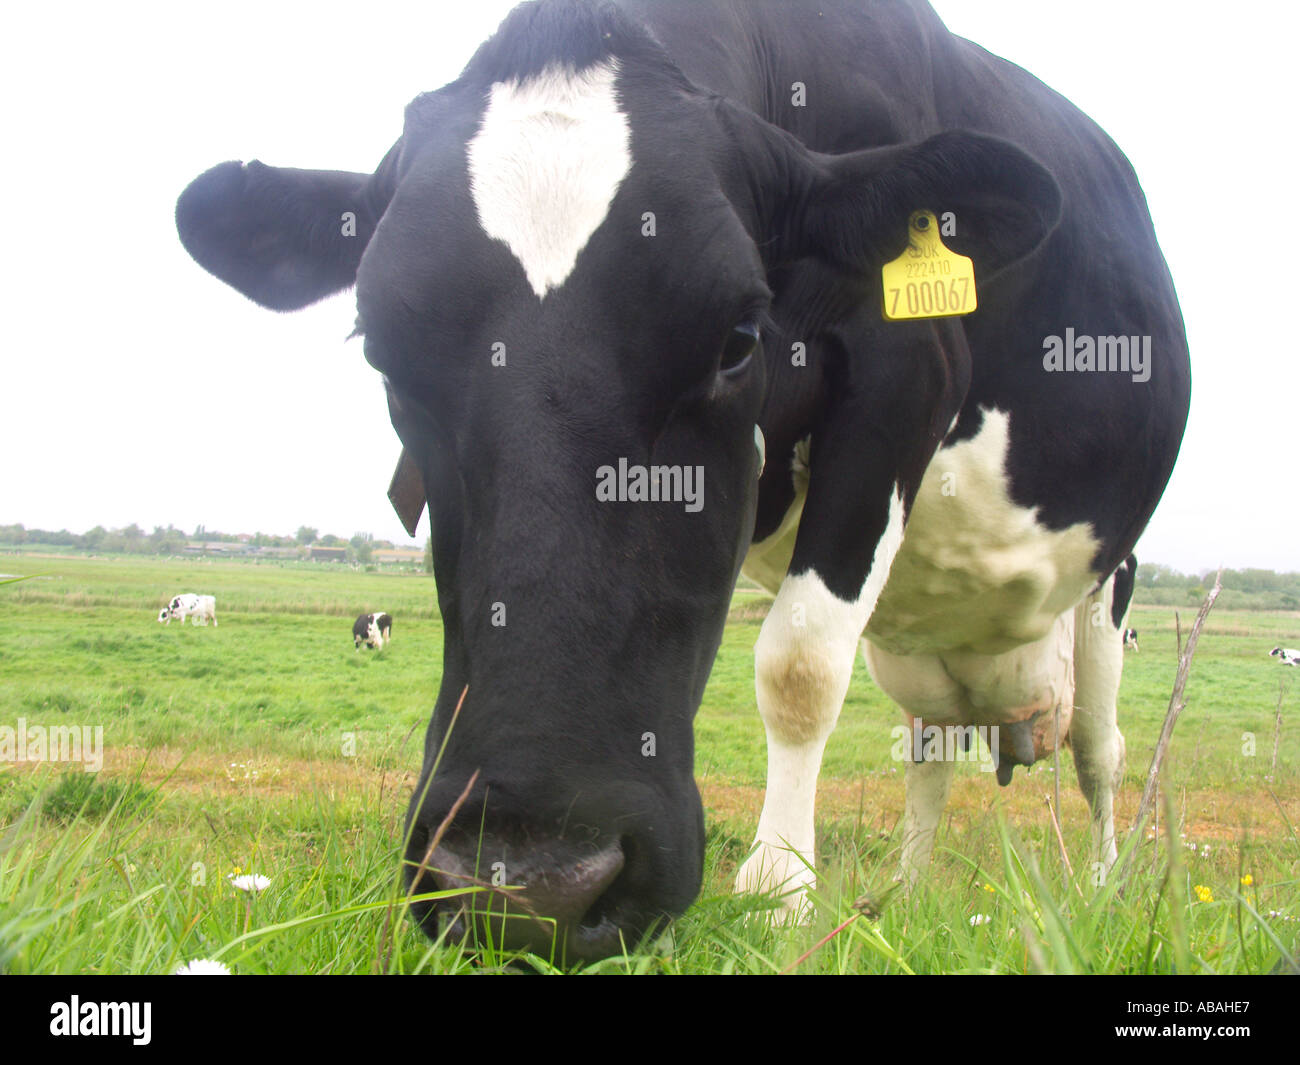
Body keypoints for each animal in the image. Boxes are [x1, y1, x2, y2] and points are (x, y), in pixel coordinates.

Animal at [175, 0, 1190, 961]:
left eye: (738, 339)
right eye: (383, 355)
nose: (530, 891)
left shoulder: (906, 375)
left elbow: (799, 663)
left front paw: (780, 892)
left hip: (1112, 583)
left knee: (1101, 749)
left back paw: (1101, 890)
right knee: (932, 747)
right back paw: (899, 895)